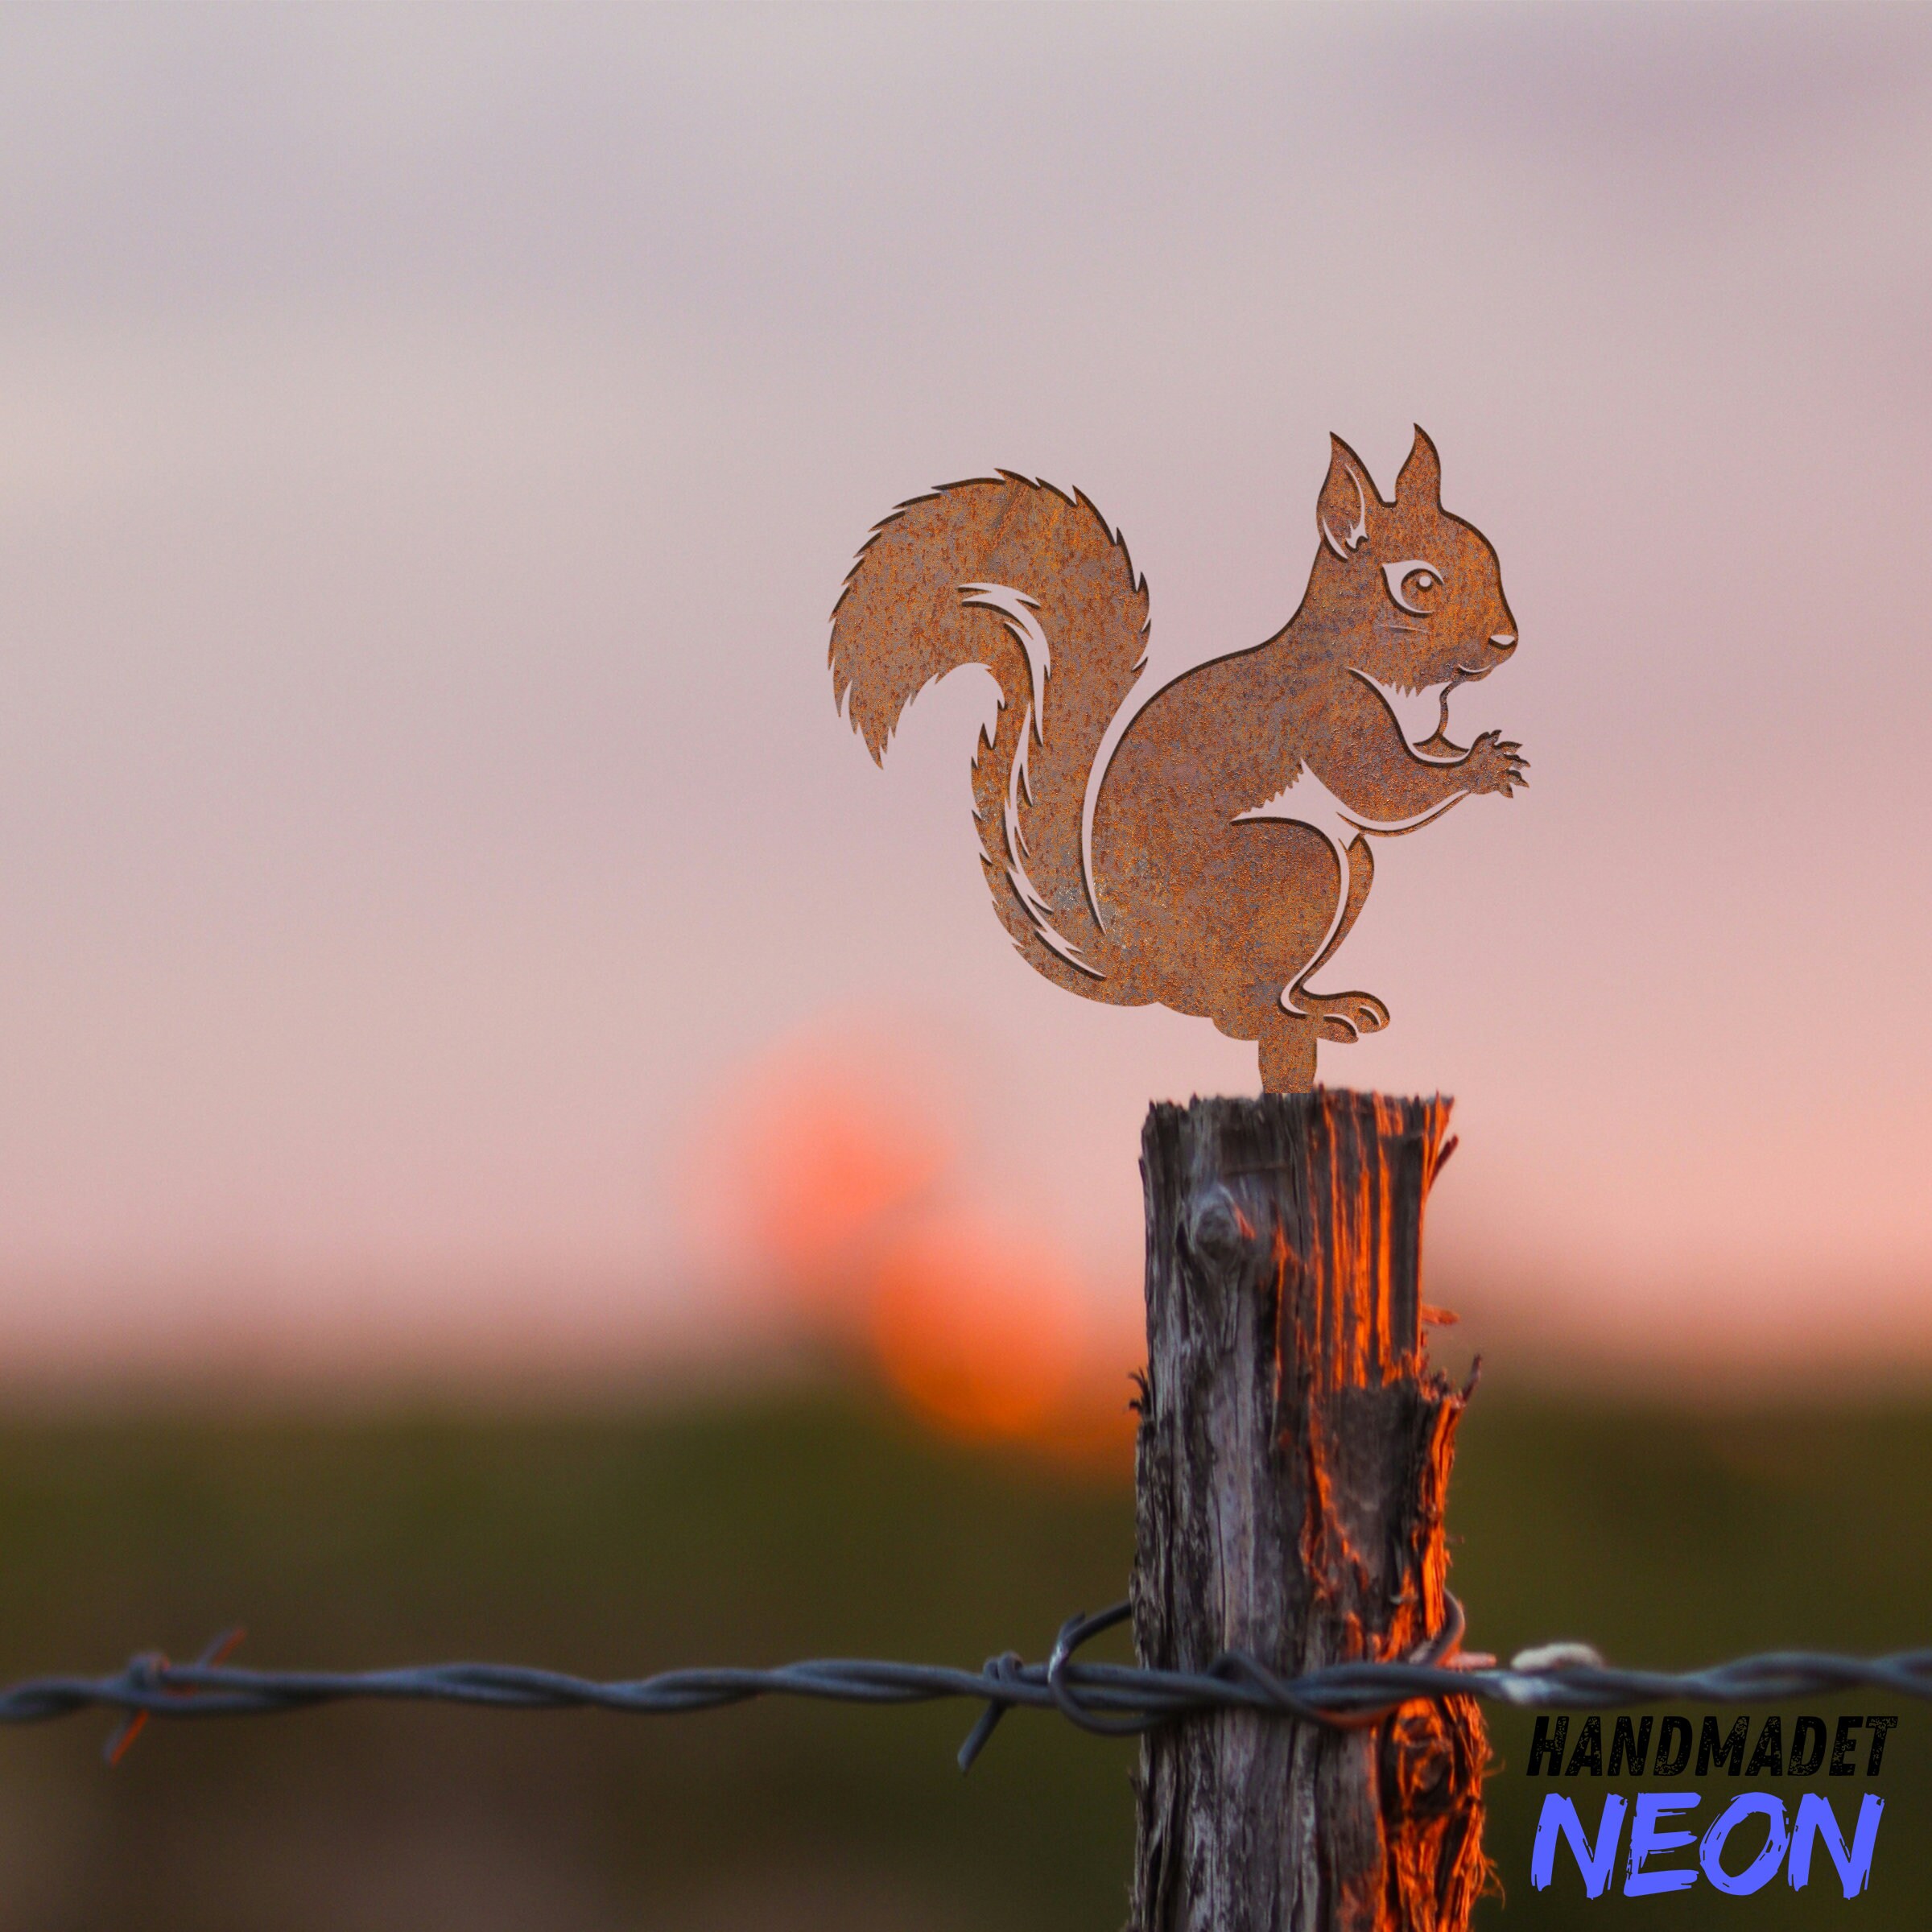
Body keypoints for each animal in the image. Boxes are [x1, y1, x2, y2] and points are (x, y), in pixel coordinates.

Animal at [828, 428, 1526, 1092]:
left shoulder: (1420, 731)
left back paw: (1321, 1004)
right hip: (1292, 866)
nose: (1507, 640)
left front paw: (1476, 755)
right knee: (1235, 1013)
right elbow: (1382, 791)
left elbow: (1418, 767)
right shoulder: (1330, 713)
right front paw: (1484, 766)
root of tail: (1141, 966)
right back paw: (1296, 1019)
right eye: (1420, 584)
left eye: (1488, 555)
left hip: (1341, 874)